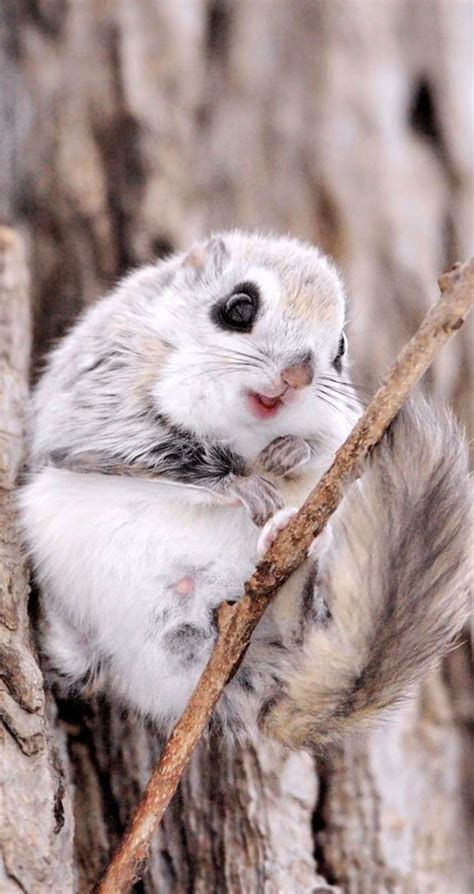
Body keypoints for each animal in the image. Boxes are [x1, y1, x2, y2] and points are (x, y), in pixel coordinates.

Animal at [19, 231, 471, 749]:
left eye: (340, 349)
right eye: (238, 307)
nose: (298, 375)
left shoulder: (344, 428)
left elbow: (328, 450)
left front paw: (291, 451)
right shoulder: (101, 399)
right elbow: (157, 453)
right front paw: (244, 483)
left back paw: (292, 545)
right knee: (80, 663)